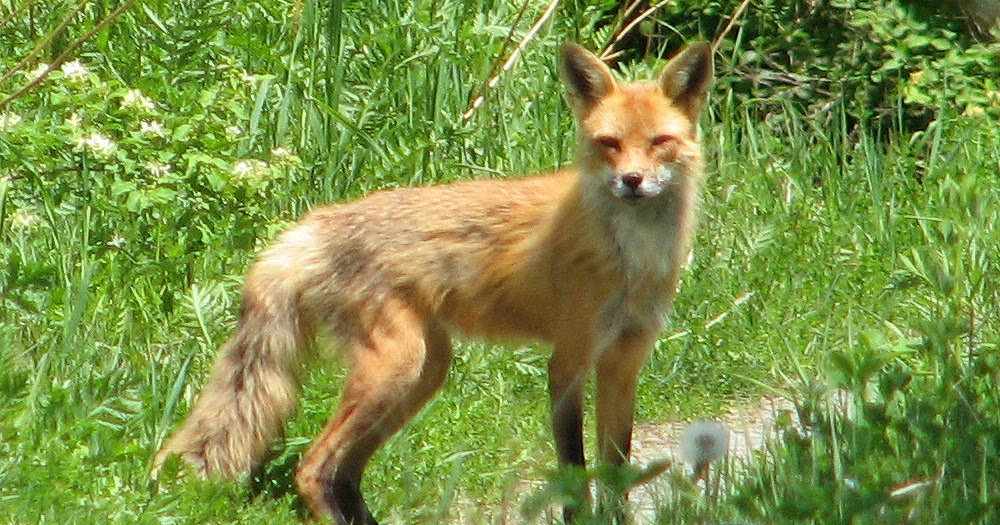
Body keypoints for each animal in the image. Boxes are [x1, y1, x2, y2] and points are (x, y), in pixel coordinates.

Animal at [152, 41, 714, 524]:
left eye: (660, 142)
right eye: (609, 144)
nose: (631, 182)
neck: (631, 257)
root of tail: (309, 225)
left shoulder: (624, 361)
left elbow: (616, 470)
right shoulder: (569, 359)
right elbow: (574, 470)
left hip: (423, 373)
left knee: (345, 472)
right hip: (396, 367)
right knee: (313, 469)